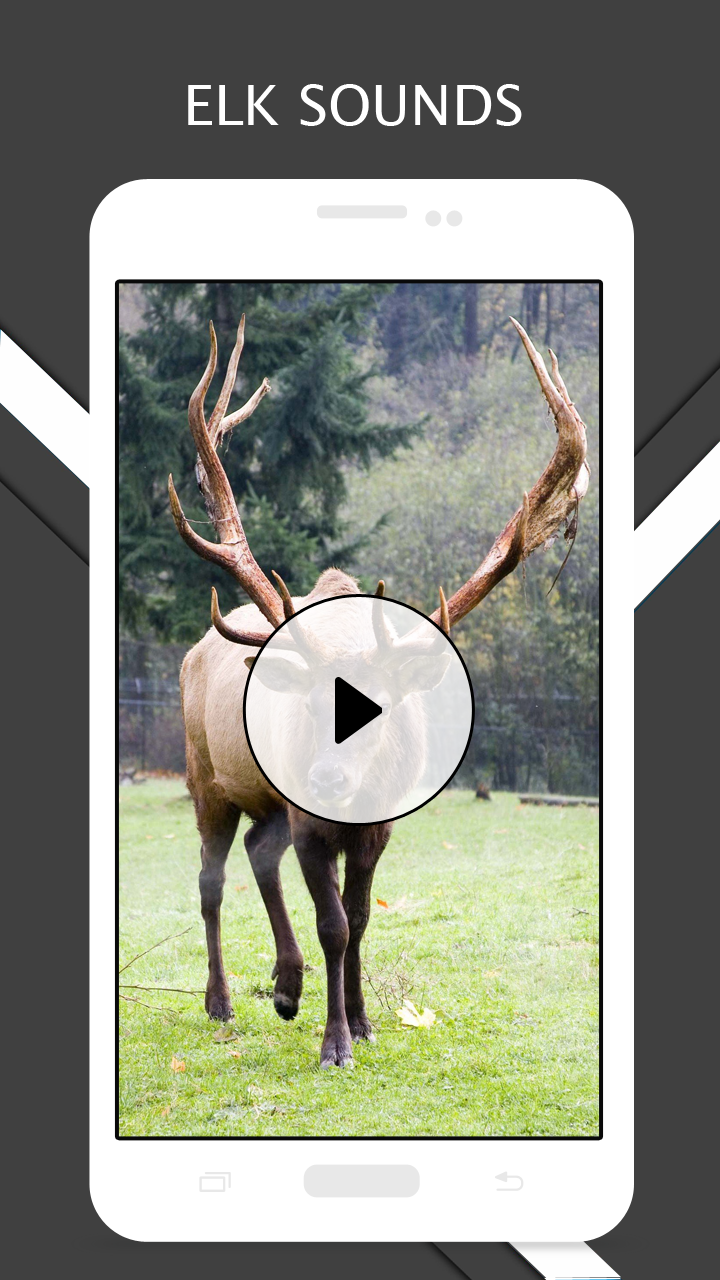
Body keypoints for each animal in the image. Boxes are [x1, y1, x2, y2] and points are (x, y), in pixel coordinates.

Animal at [168, 312, 589, 1068]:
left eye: (375, 708)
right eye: (312, 703)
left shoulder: (379, 827)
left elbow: (361, 919)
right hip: (206, 776)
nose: (328, 777)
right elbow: (333, 921)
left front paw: (361, 1022)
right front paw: (335, 1043)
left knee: (259, 855)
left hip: (267, 798)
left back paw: (287, 986)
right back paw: (221, 1000)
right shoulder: (309, 822)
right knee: (212, 879)